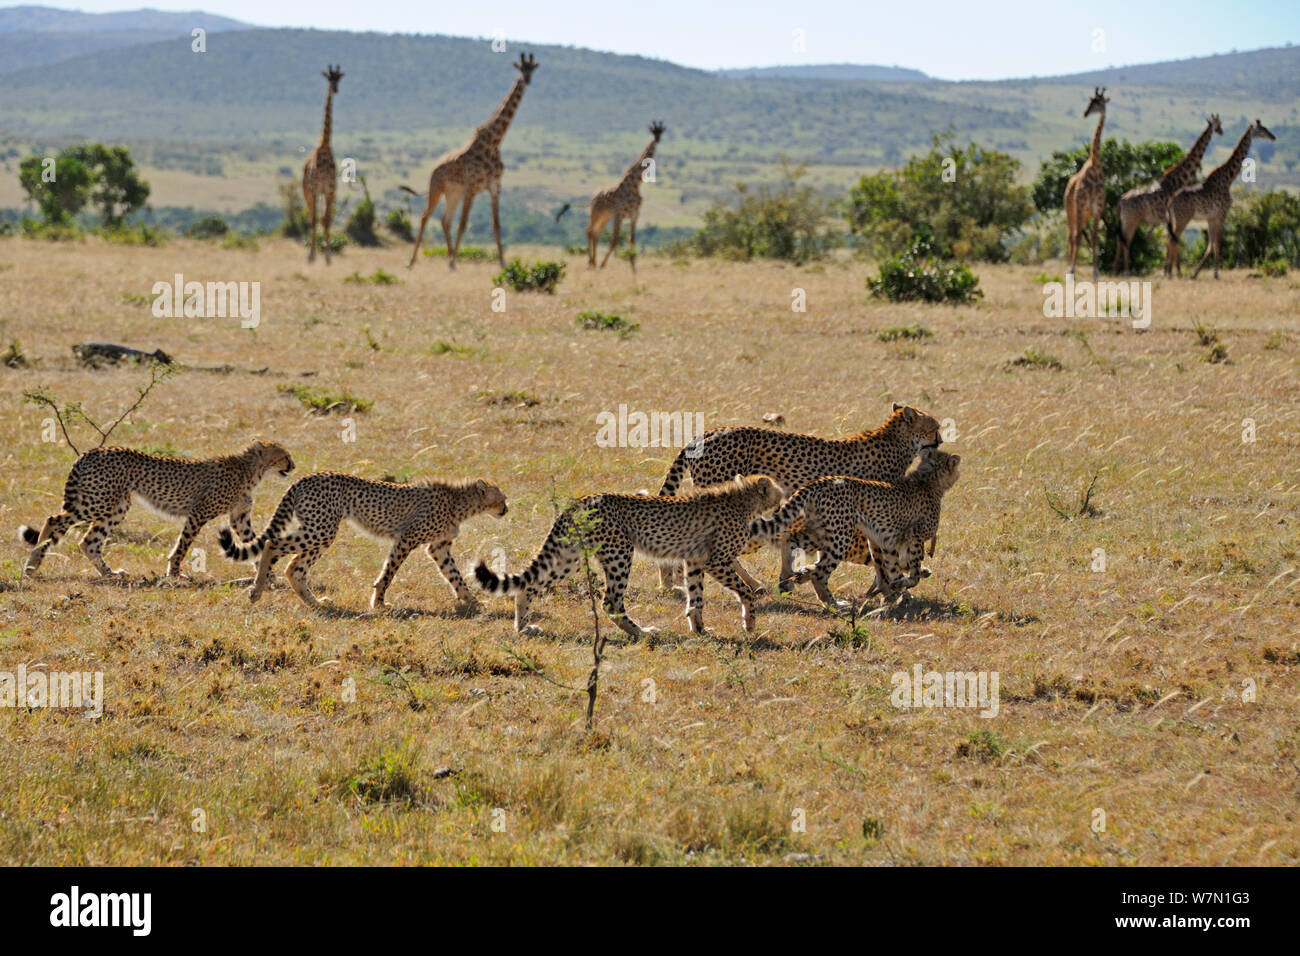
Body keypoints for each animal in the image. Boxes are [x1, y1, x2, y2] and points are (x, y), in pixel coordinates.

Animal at [403, 53, 538, 270]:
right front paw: (452, 261)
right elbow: (464, 223)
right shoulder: (473, 187)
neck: (493, 143)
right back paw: (412, 261)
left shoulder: (495, 187)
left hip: (454, 192)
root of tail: (434, 169)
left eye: (533, 69)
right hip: (438, 188)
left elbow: (496, 225)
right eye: (520, 69)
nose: (526, 80)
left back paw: (450, 258)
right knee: (426, 216)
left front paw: (503, 263)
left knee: (445, 220)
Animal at [586, 121, 666, 271]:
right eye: (653, 131)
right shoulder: (619, 215)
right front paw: (603, 265)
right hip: (596, 214)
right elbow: (615, 240)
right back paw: (591, 263)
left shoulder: (635, 215)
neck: (635, 185)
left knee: (596, 233)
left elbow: (632, 240)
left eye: (661, 132)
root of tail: (594, 196)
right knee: (589, 231)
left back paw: (593, 262)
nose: (657, 139)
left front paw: (634, 268)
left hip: (606, 217)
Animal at [1111, 114, 1223, 274]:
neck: (1177, 181)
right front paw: (1175, 271)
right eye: (1218, 124)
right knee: (1125, 240)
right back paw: (1126, 270)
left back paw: (1115, 268)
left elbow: (1170, 242)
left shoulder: (1168, 221)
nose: (1221, 131)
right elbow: (1173, 242)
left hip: (1125, 220)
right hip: (1131, 220)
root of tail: (1120, 201)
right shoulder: (1175, 218)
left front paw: (1168, 270)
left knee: (1120, 239)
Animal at [1165, 119, 1276, 279]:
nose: (1273, 137)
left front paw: (1196, 273)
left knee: (1171, 238)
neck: (1228, 179)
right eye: (1262, 129)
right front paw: (1216, 273)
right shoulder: (1222, 213)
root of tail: (1170, 201)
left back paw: (1170, 271)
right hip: (1183, 218)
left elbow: (1210, 245)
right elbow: (1217, 243)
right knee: (1173, 239)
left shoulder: (1211, 217)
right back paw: (1172, 272)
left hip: (1176, 218)